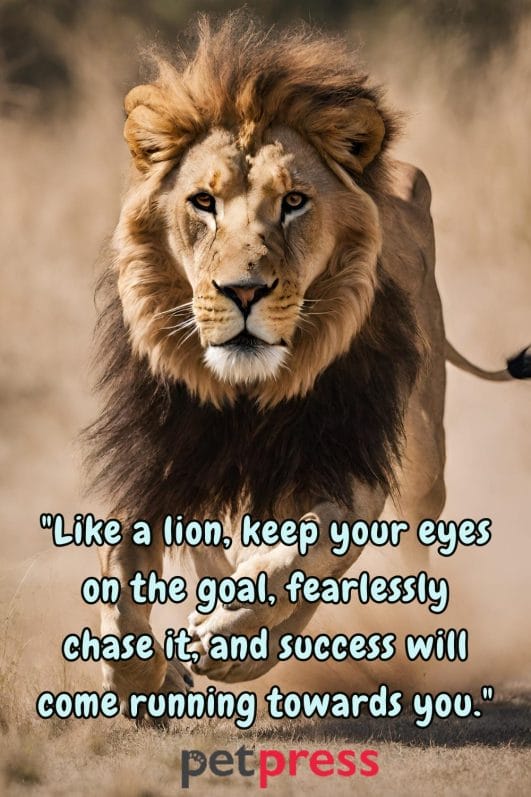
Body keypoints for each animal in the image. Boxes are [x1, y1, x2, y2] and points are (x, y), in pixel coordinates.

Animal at [85, 15, 530, 714]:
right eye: (202, 203)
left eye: (294, 201)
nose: (243, 291)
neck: (251, 390)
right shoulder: (161, 451)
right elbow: (126, 570)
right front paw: (141, 681)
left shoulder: (353, 461)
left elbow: (300, 557)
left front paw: (231, 642)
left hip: (424, 450)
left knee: (408, 543)